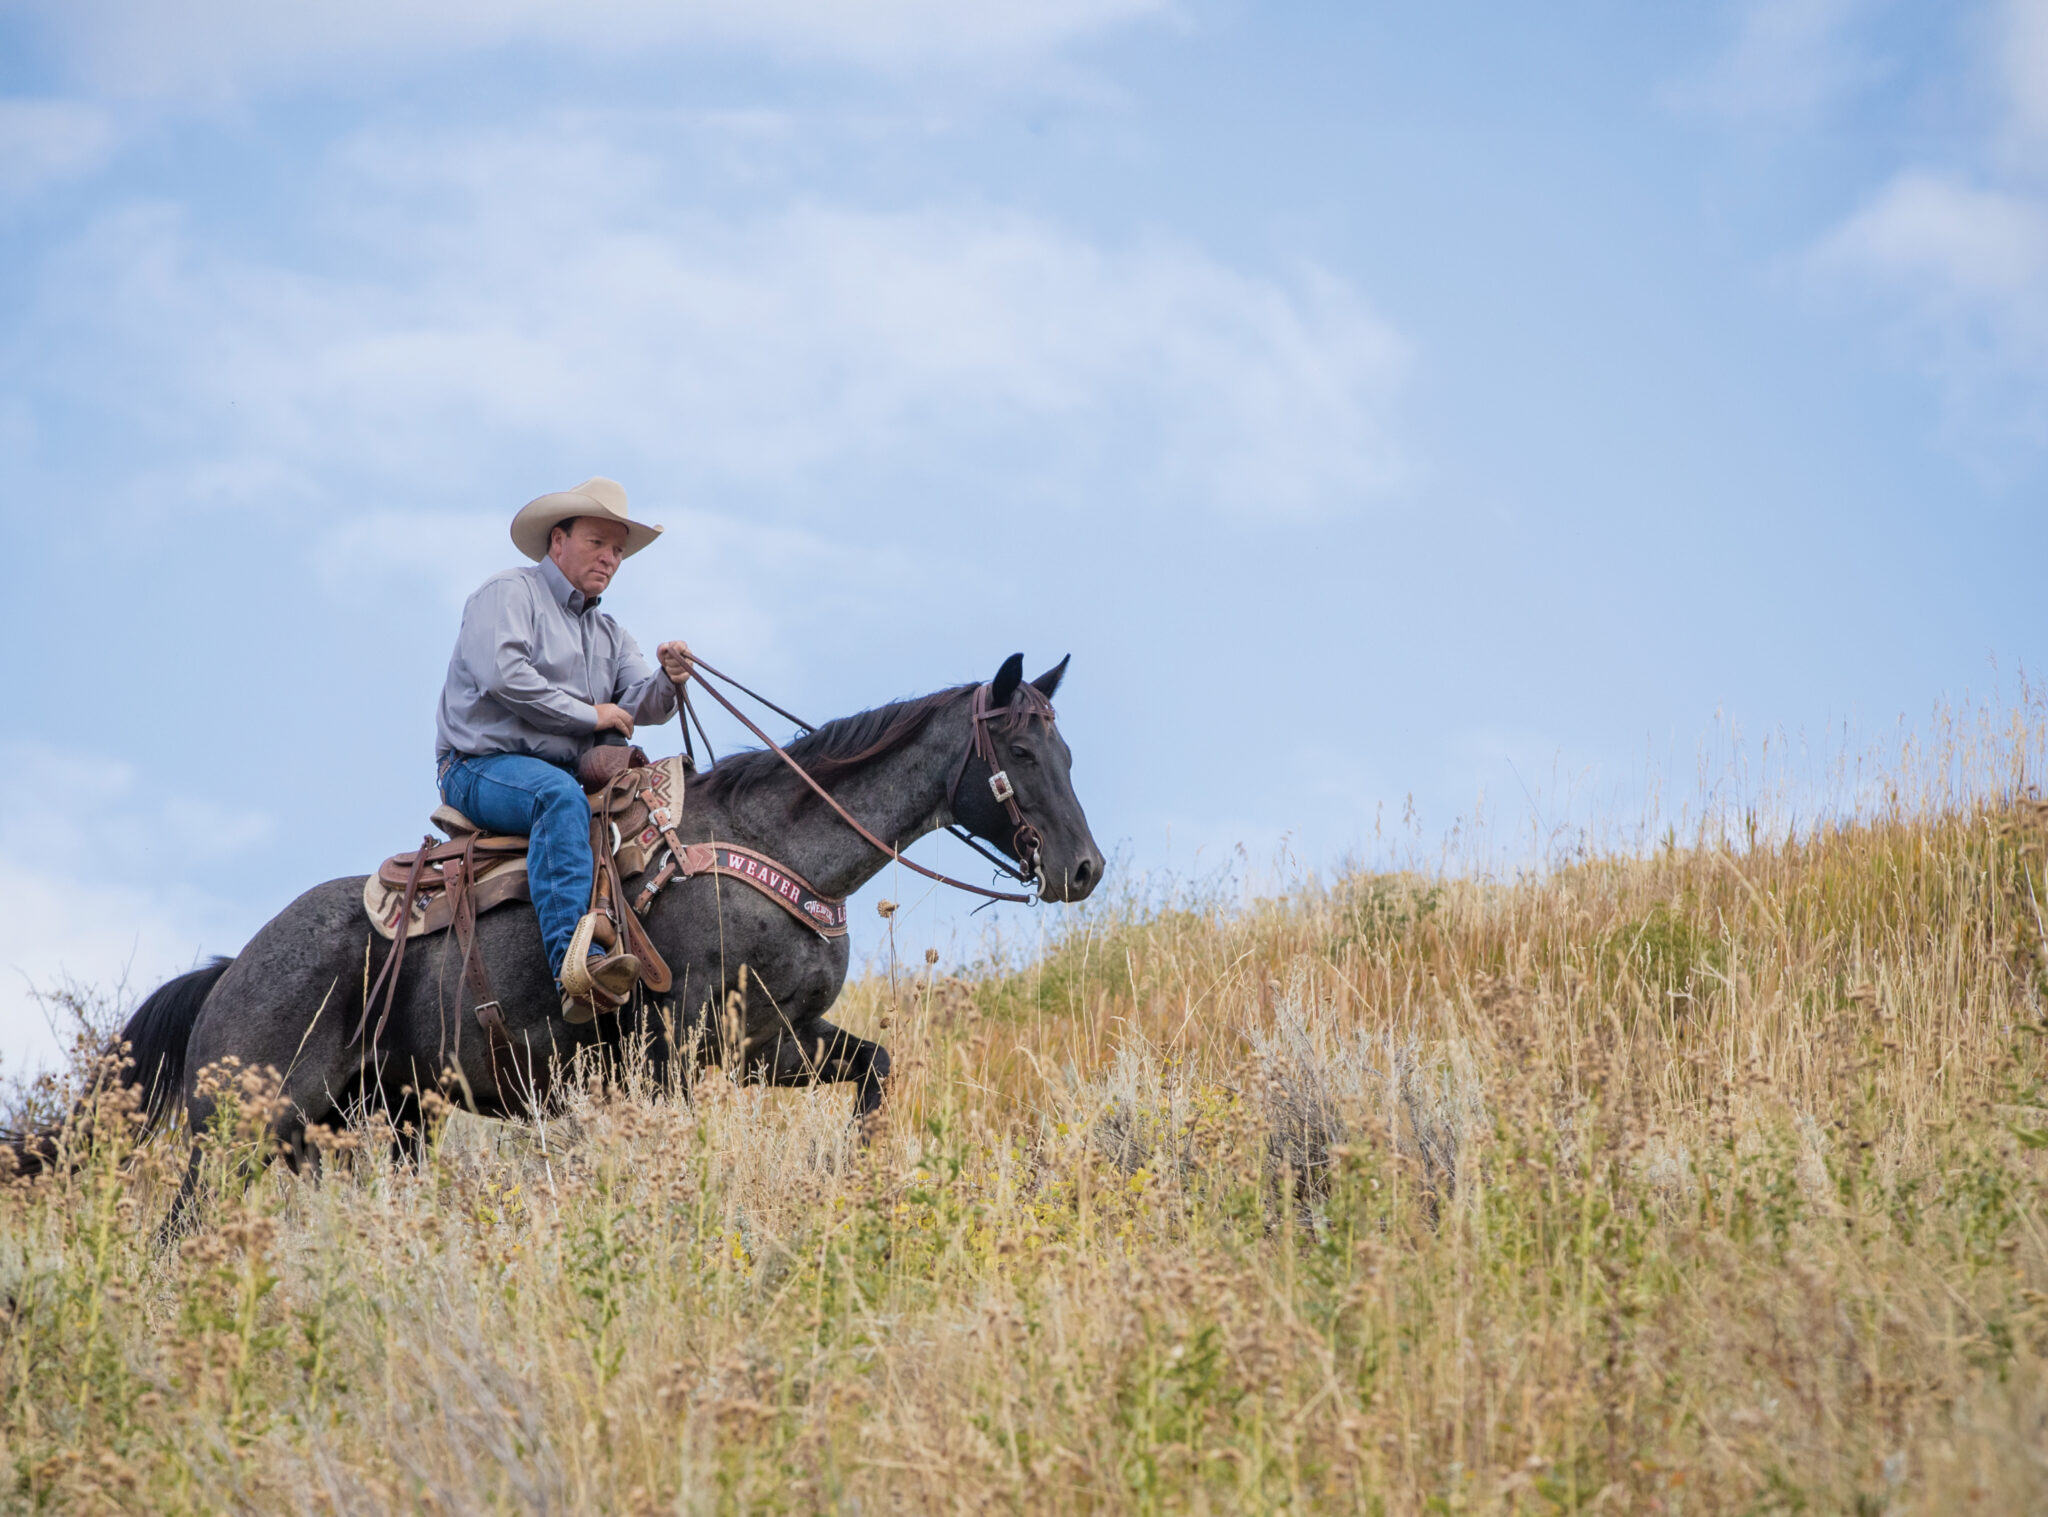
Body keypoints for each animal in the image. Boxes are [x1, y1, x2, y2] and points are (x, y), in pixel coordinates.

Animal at [33, 654, 1103, 1222]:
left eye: (1066, 746)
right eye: (1017, 748)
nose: (1084, 868)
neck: (769, 847)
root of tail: (230, 969)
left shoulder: (768, 1045)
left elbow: (875, 1070)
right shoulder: (676, 1047)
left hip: (384, 1117)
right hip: (243, 1123)